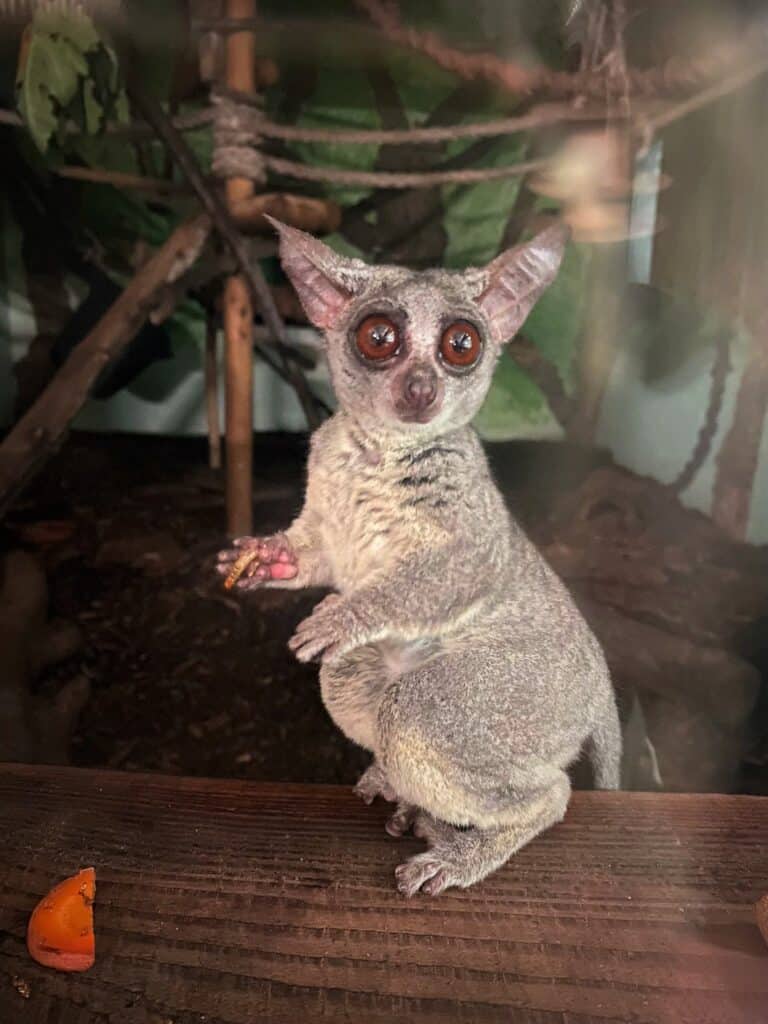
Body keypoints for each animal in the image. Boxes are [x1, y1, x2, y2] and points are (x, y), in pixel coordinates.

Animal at [217, 216, 621, 896]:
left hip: (525, 697)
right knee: (345, 679)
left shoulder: (469, 511)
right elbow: (319, 555)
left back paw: (471, 848)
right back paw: (398, 787)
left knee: (444, 731)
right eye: (379, 338)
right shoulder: (324, 480)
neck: (377, 450)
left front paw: (343, 616)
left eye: (461, 345)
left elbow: (465, 569)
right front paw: (267, 559)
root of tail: (599, 693)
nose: (421, 388)